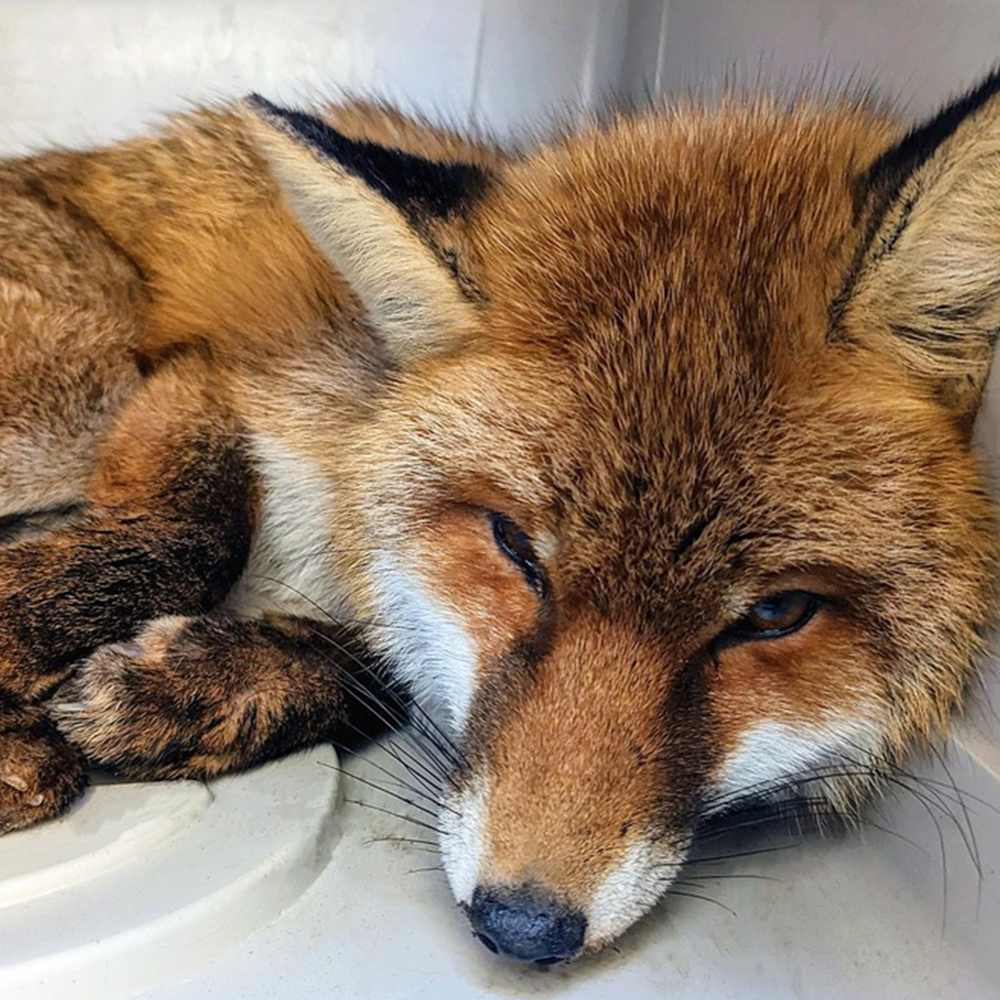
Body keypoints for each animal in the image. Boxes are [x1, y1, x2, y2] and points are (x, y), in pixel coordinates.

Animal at [0, 68, 999, 965]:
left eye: (777, 615)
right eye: (515, 546)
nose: (521, 928)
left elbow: (371, 665)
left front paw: (199, 686)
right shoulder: (209, 376)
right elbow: (192, 535)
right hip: (75, 395)